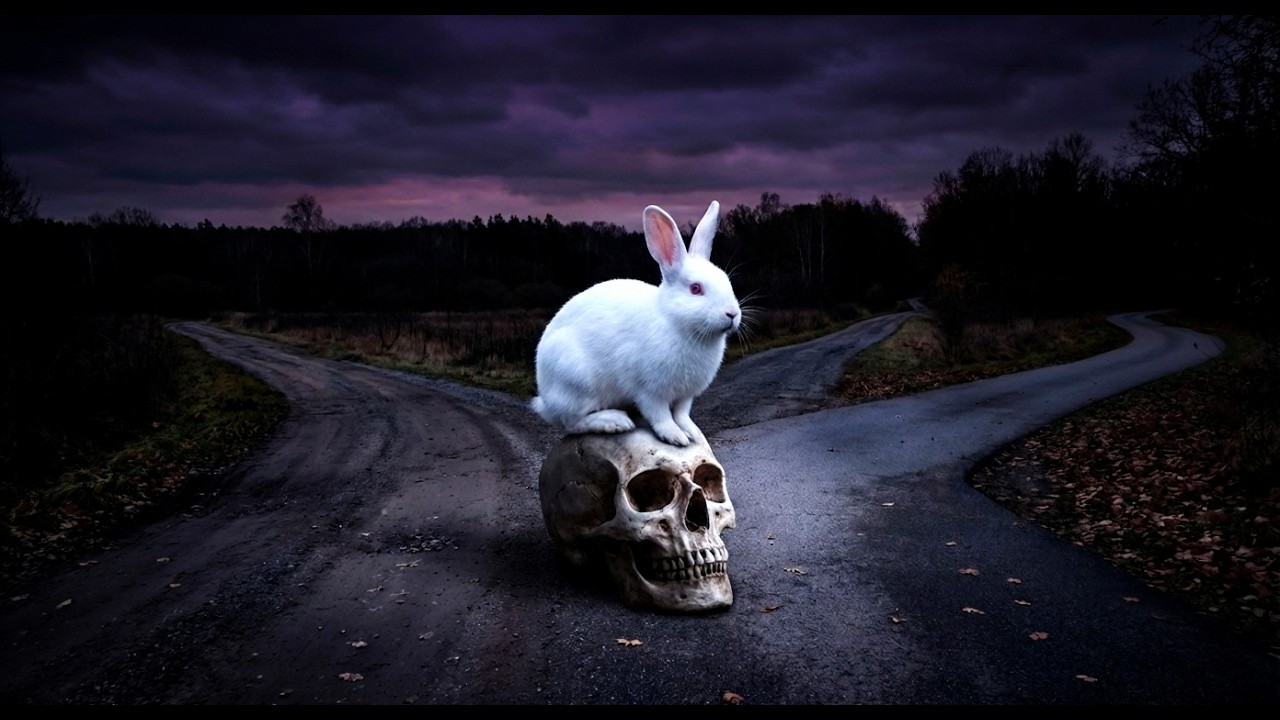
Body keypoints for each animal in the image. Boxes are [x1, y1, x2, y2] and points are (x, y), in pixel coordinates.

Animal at [531, 200, 741, 446]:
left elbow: (682, 414)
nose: (732, 314)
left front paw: (694, 433)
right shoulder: (649, 390)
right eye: (696, 289)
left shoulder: (685, 396)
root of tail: (546, 398)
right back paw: (615, 421)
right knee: (572, 422)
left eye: (726, 281)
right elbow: (660, 415)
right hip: (577, 381)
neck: (676, 322)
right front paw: (675, 437)